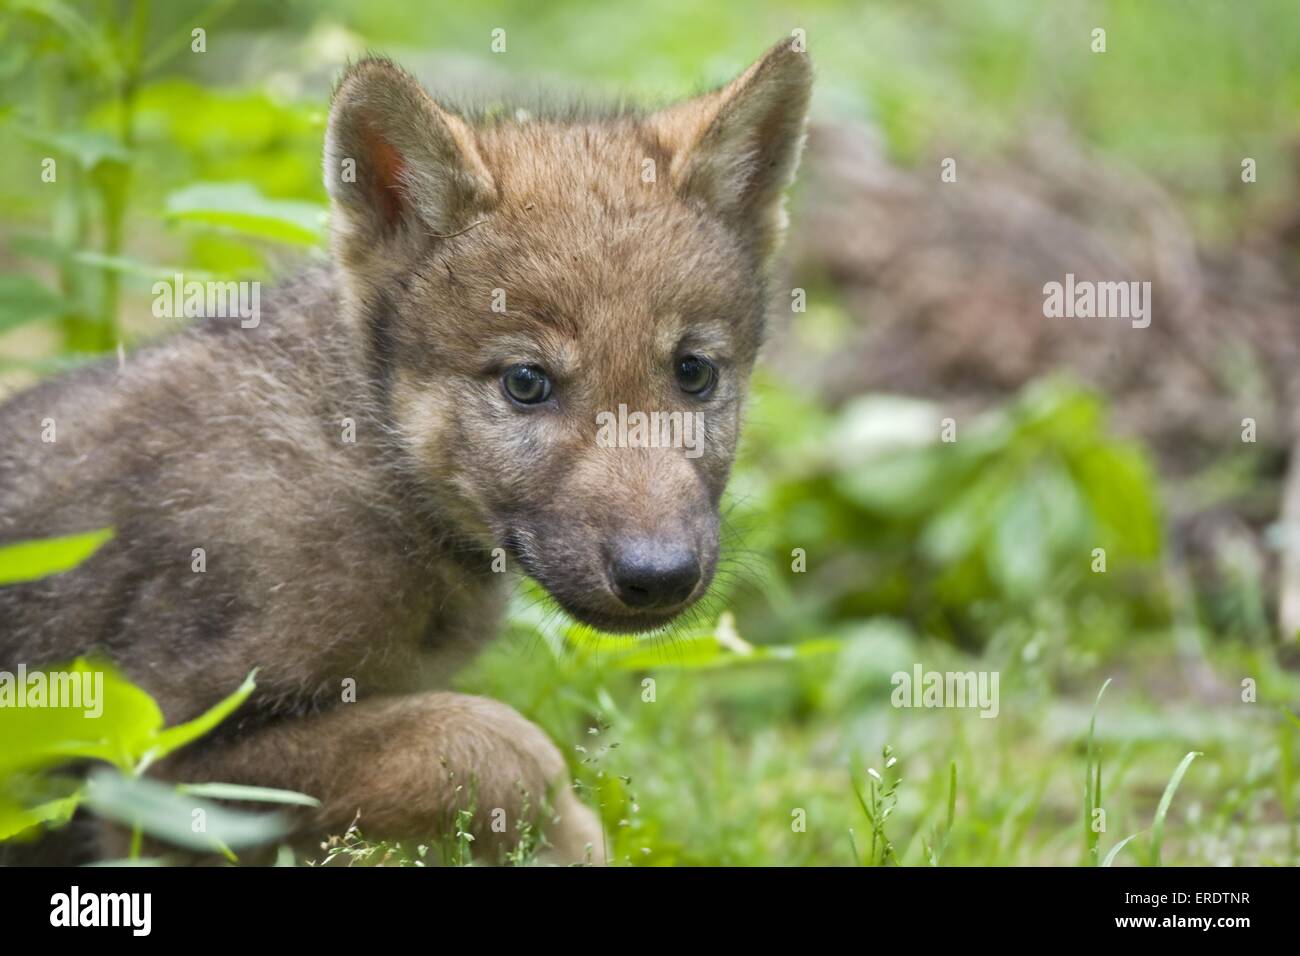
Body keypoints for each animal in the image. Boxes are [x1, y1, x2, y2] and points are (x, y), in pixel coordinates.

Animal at [0, 38, 811, 863]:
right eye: (526, 383)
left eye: (694, 372)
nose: (659, 575)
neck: (366, 466)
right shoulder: (158, 758)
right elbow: (502, 746)